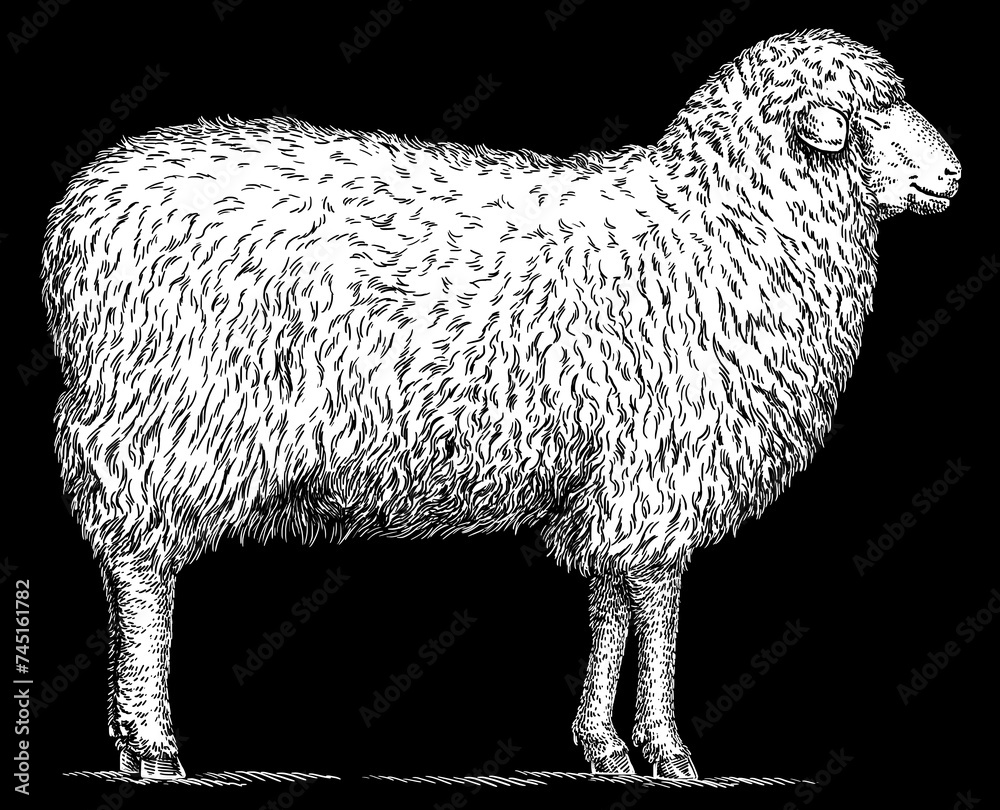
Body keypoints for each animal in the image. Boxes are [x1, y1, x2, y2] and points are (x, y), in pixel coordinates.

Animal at [41, 28, 960, 780]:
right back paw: (152, 744)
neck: (728, 222)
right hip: (170, 420)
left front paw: (603, 747)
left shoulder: (609, 484)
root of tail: (76, 215)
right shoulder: (662, 469)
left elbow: (609, 607)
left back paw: (130, 740)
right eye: (874, 108)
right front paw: (668, 751)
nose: (953, 173)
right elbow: (658, 609)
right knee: (141, 577)